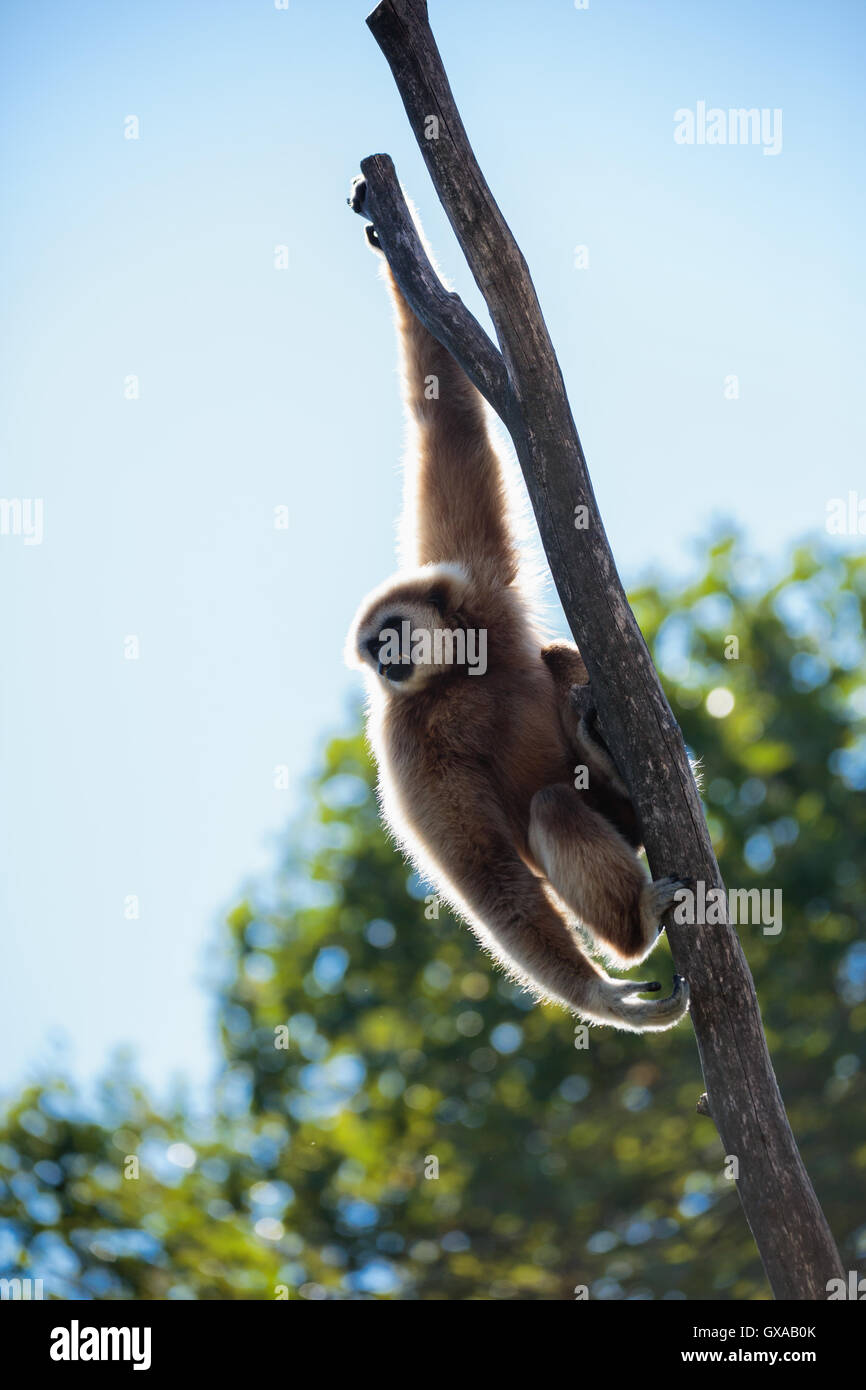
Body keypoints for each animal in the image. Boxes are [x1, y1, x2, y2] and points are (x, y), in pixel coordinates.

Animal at [345, 175, 689, 1032]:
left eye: (390, 635)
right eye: (372, 651)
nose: (385, 663)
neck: (458, 679)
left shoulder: (481, 588)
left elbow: (445, 421)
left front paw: (392, 240)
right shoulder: (406, 747)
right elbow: (485, 874)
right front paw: (602, 999)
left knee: (565, 669)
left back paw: (604, 746)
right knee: (553, 807)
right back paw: (633, 933)